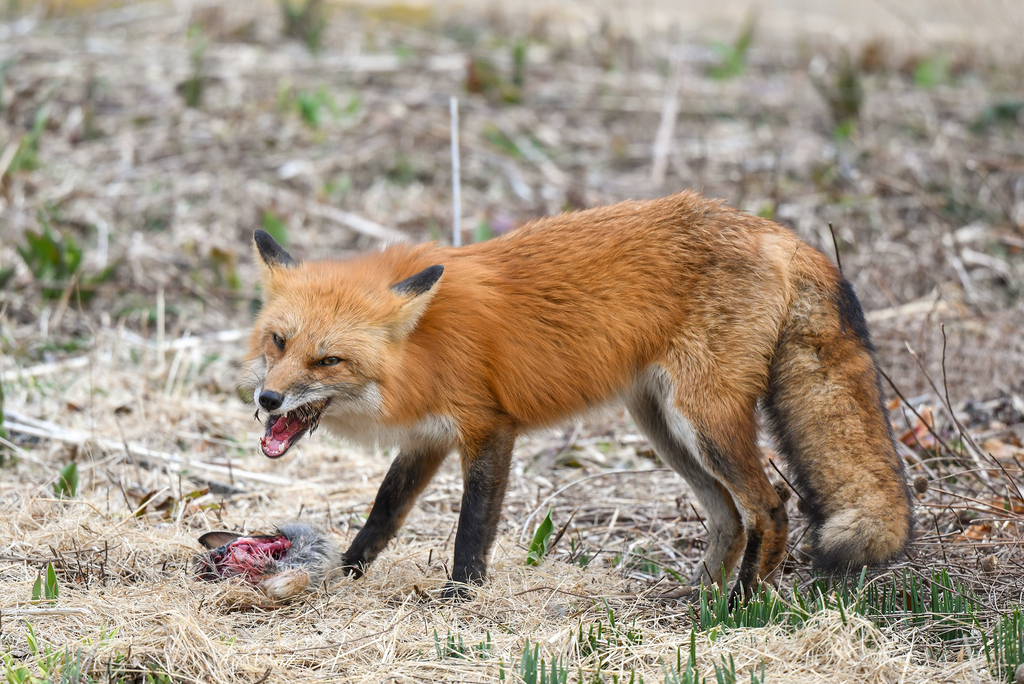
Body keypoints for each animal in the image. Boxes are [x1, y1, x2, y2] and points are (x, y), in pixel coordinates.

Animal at [245, 191, 913, 602]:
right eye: (279, 341)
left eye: (327, 360)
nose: (269, 400)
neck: (422, 348)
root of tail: (777, 232)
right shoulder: (429, 437)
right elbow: (384, 512)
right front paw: (344, 575)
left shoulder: (489, 428)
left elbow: (472, 525)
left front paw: (461, 596)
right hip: (661, 424)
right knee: (728, 515)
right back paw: (698, 600)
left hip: (703, 421)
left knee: (771, 507)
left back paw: (740, 609)